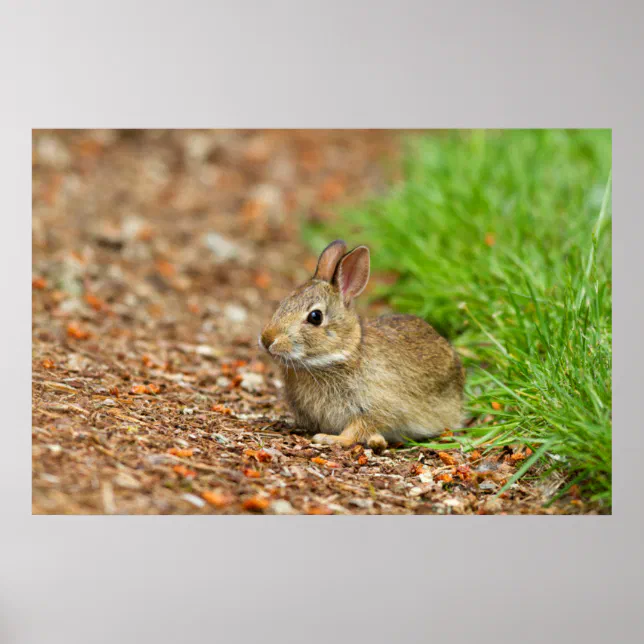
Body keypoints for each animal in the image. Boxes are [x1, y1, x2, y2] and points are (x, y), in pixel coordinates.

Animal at [259, 240, 465, 450]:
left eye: (315, 317)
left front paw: (331, 439)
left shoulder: (376, 407)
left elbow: (358, 427)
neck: (340, 355)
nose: (267, 340)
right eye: (283, 303)